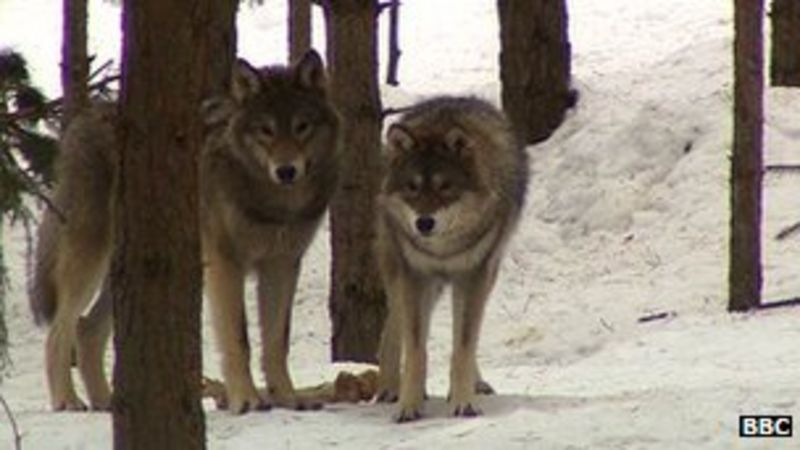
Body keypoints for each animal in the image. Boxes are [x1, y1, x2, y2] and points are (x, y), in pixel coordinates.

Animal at [29, 50, 340, 414]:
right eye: (266, 130)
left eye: (302, 127)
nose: (287, 170)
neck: (275, 203)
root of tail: (83, 119)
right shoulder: (225, 263)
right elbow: (239, 337)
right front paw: (246, 399)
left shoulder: (283, 265)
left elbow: (278, 341)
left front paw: (288, 398)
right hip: (89, 263)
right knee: (58, 332)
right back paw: (67, 400)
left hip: (131, 270)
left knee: (87, 329)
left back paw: (108, 403)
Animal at [374, 96, 528, 422]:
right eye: (412, 187)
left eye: (445, 187)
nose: (423, 223)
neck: (443, 250)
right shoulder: (415, 276)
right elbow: (416, 347)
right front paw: (408, 405)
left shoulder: (472, 276)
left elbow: (464, 345)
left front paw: (463, 402)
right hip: (404, 275)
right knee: (393, 327)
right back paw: (390, 388)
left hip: (480, 278)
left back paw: (475, 384)